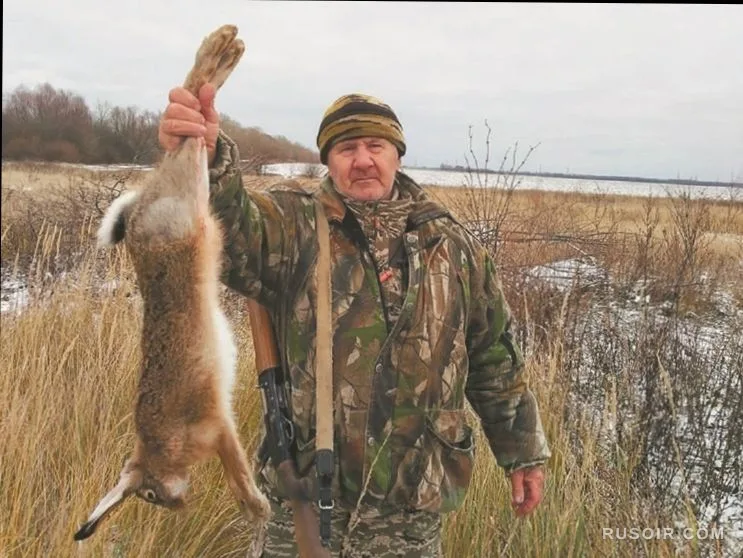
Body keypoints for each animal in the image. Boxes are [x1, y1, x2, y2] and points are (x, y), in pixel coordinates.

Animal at [74, 24, 270, 541]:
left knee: (190, 114)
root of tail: (142, 210)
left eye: (147, 495)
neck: (159, 449)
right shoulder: (217, 423)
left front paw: (257, 507)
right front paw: (258, 509)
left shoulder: (217, 424)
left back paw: (221, 46)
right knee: (194, 123)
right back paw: (229, 50)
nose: (177, 504)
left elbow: (236, 467)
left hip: (188, 201)